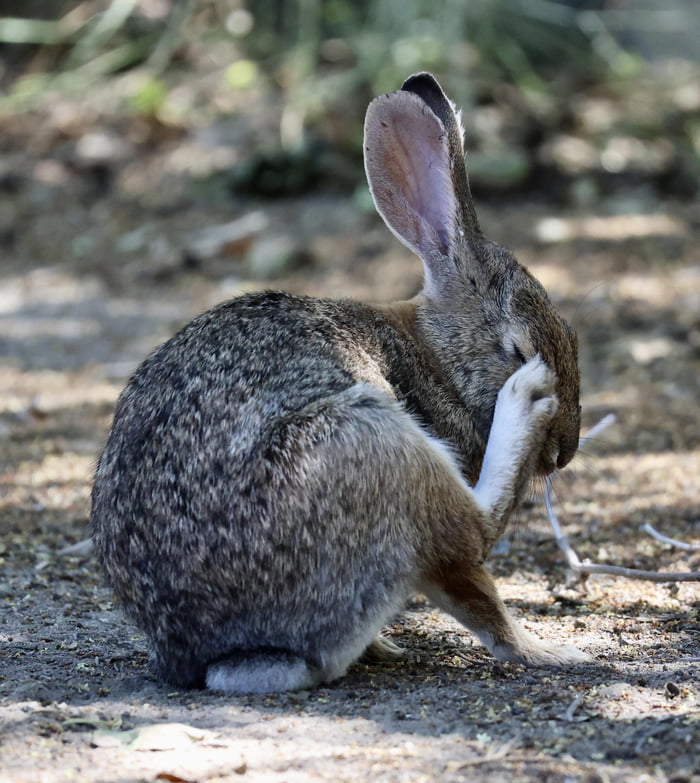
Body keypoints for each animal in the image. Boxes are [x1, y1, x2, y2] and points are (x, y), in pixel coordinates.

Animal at [91, 72, 588, 695]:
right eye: (518, 347)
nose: (565, 452)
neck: (436, 356)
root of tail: (215, 652)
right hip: (374, 441)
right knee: (470, 546)